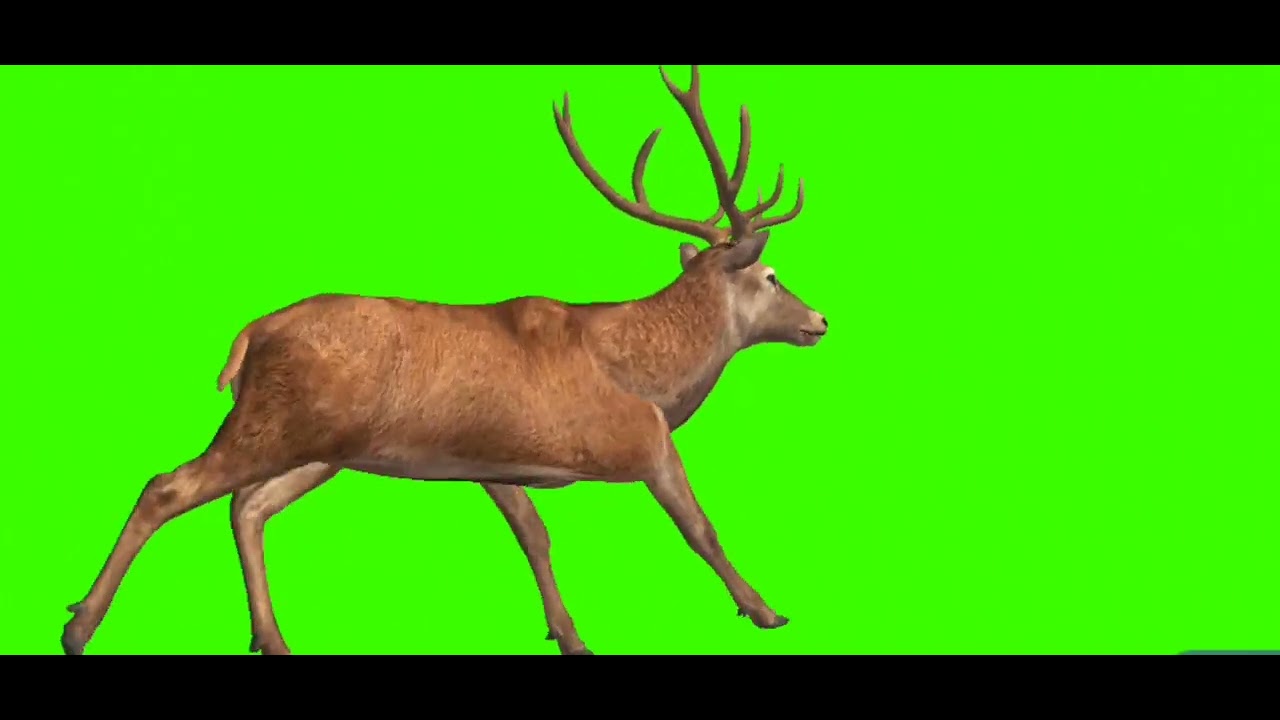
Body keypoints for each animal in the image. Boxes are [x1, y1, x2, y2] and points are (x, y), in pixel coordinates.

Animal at [61, 64, 828, 656]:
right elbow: (701, 529)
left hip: (323, 446)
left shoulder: (494, 457)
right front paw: (766, 611)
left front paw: (568, 635)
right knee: (167, 486)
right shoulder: (639, 439)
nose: (820, 320)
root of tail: (250, 335)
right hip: (274, 422)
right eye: (772, 278)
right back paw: (80, 625)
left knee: (247, 507)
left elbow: (535, 537)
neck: (654, 375)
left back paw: (271, 638)